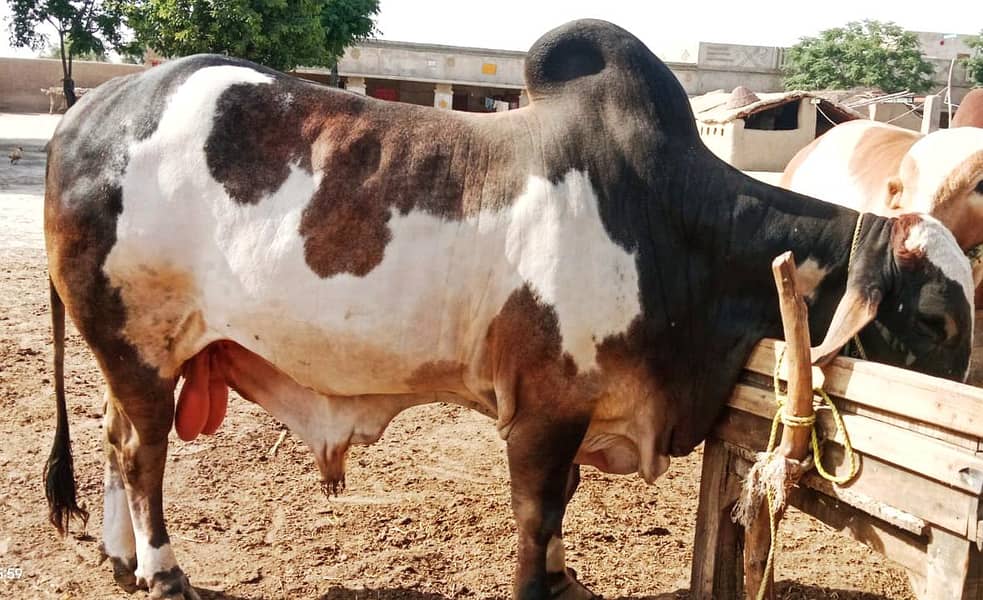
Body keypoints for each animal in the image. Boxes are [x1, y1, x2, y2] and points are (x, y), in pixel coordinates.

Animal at [43, 19, 973, 600]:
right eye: (935, 321)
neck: (676, 230)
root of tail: (86, 113)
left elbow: (560, 511)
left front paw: (565, 576)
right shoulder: (541, 410)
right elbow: (536, 515)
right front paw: (539, 581)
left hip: (138, 353)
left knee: (112, 438)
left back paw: (121, 559)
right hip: (140, 343)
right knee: (142, 455)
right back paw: (163, 571)